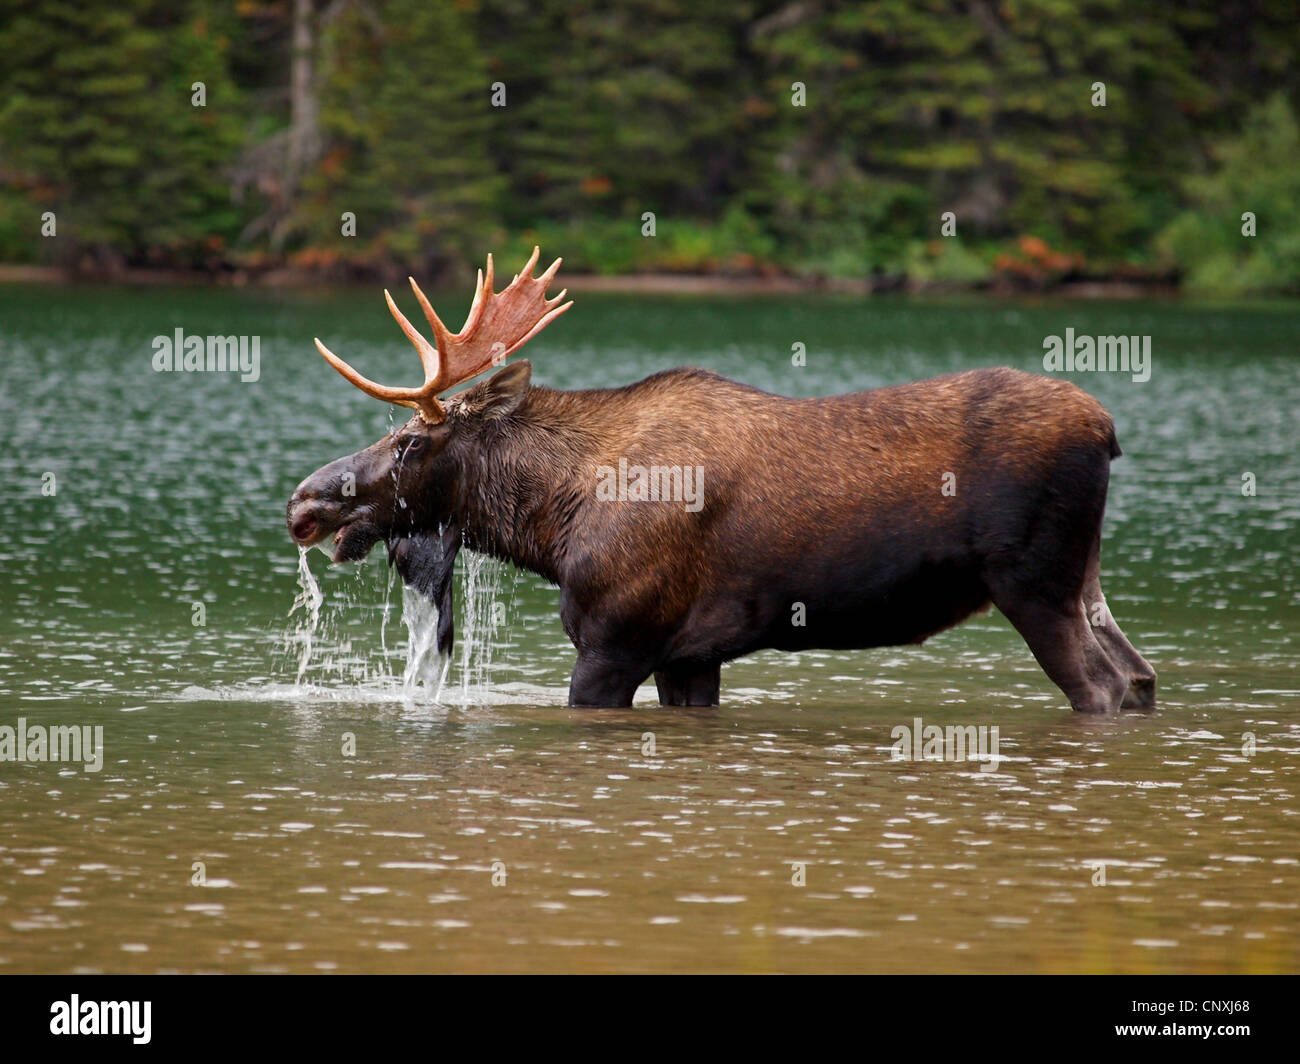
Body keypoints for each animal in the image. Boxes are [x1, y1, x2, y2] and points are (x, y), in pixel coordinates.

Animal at [287, 247, 1159, 707]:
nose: (305, 500)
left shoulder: (616, 637)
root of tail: (1107, 431)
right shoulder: (690, 655)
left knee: (1103, 687)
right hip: (1084, 579)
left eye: (409, 442)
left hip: (1031, 581)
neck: (551, 526)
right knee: (1140, 676)